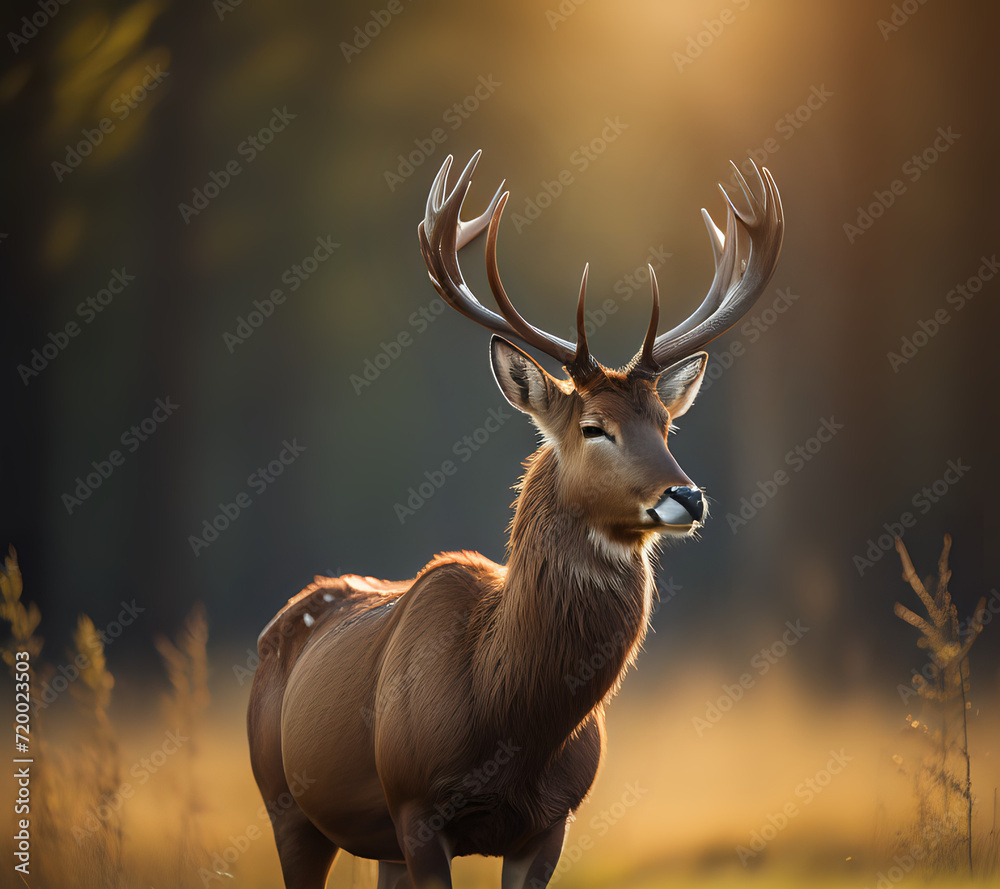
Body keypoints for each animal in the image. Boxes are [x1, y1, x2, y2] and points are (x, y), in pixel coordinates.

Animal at [247, 150, 783, 889]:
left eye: (666, 423)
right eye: (594, 427)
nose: (688, 496)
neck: (510, 719)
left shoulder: (553, 820)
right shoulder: (415, 806)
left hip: (373, 841)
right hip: (285, 804)